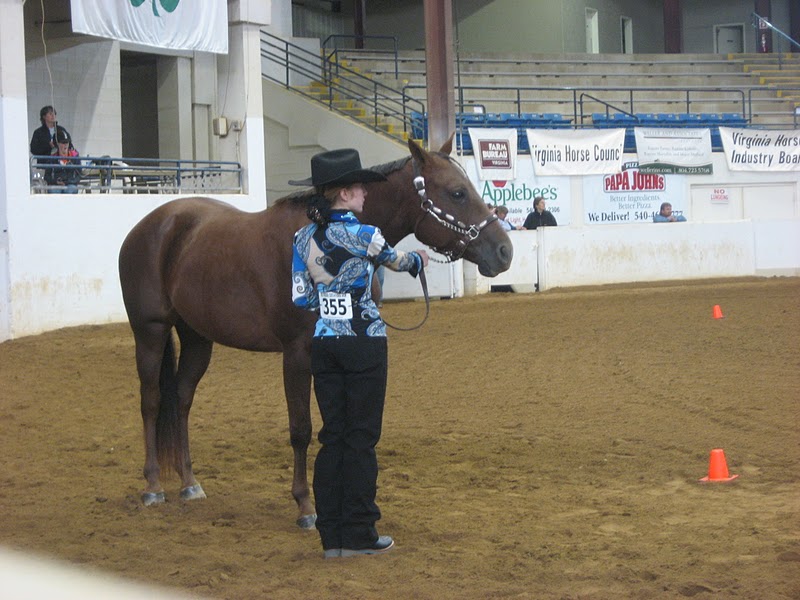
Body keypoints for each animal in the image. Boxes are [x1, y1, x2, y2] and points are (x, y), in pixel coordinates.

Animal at [118, 136, 513, 528]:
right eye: (458, 192)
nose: (505, 251)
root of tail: (151, 225)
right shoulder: (297, 354)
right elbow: (301, 429)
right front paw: (306, 506)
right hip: (150, 331)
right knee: (151, 401)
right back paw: (153, 487)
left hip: (198, 337)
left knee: (182, 399)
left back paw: (190, 483)